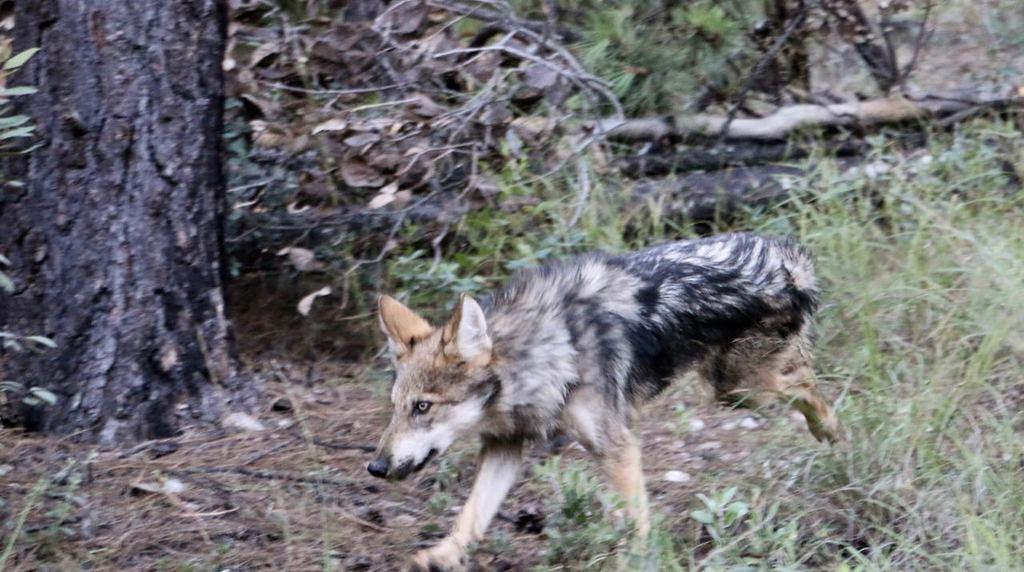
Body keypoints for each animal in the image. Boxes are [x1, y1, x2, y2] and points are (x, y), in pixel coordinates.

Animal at [367, 232, 840, 571]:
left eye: (423, 407)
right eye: (396, 406)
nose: (376, 467)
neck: (551, 349)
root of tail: (786, 255)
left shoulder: (617, 446)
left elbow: (636, 524)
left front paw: (639, 562)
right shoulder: (506, 445)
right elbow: (471, 514)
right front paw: (443, 555)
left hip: (740, 389)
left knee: (809, 383)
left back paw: (830, 431)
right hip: (735, 390)